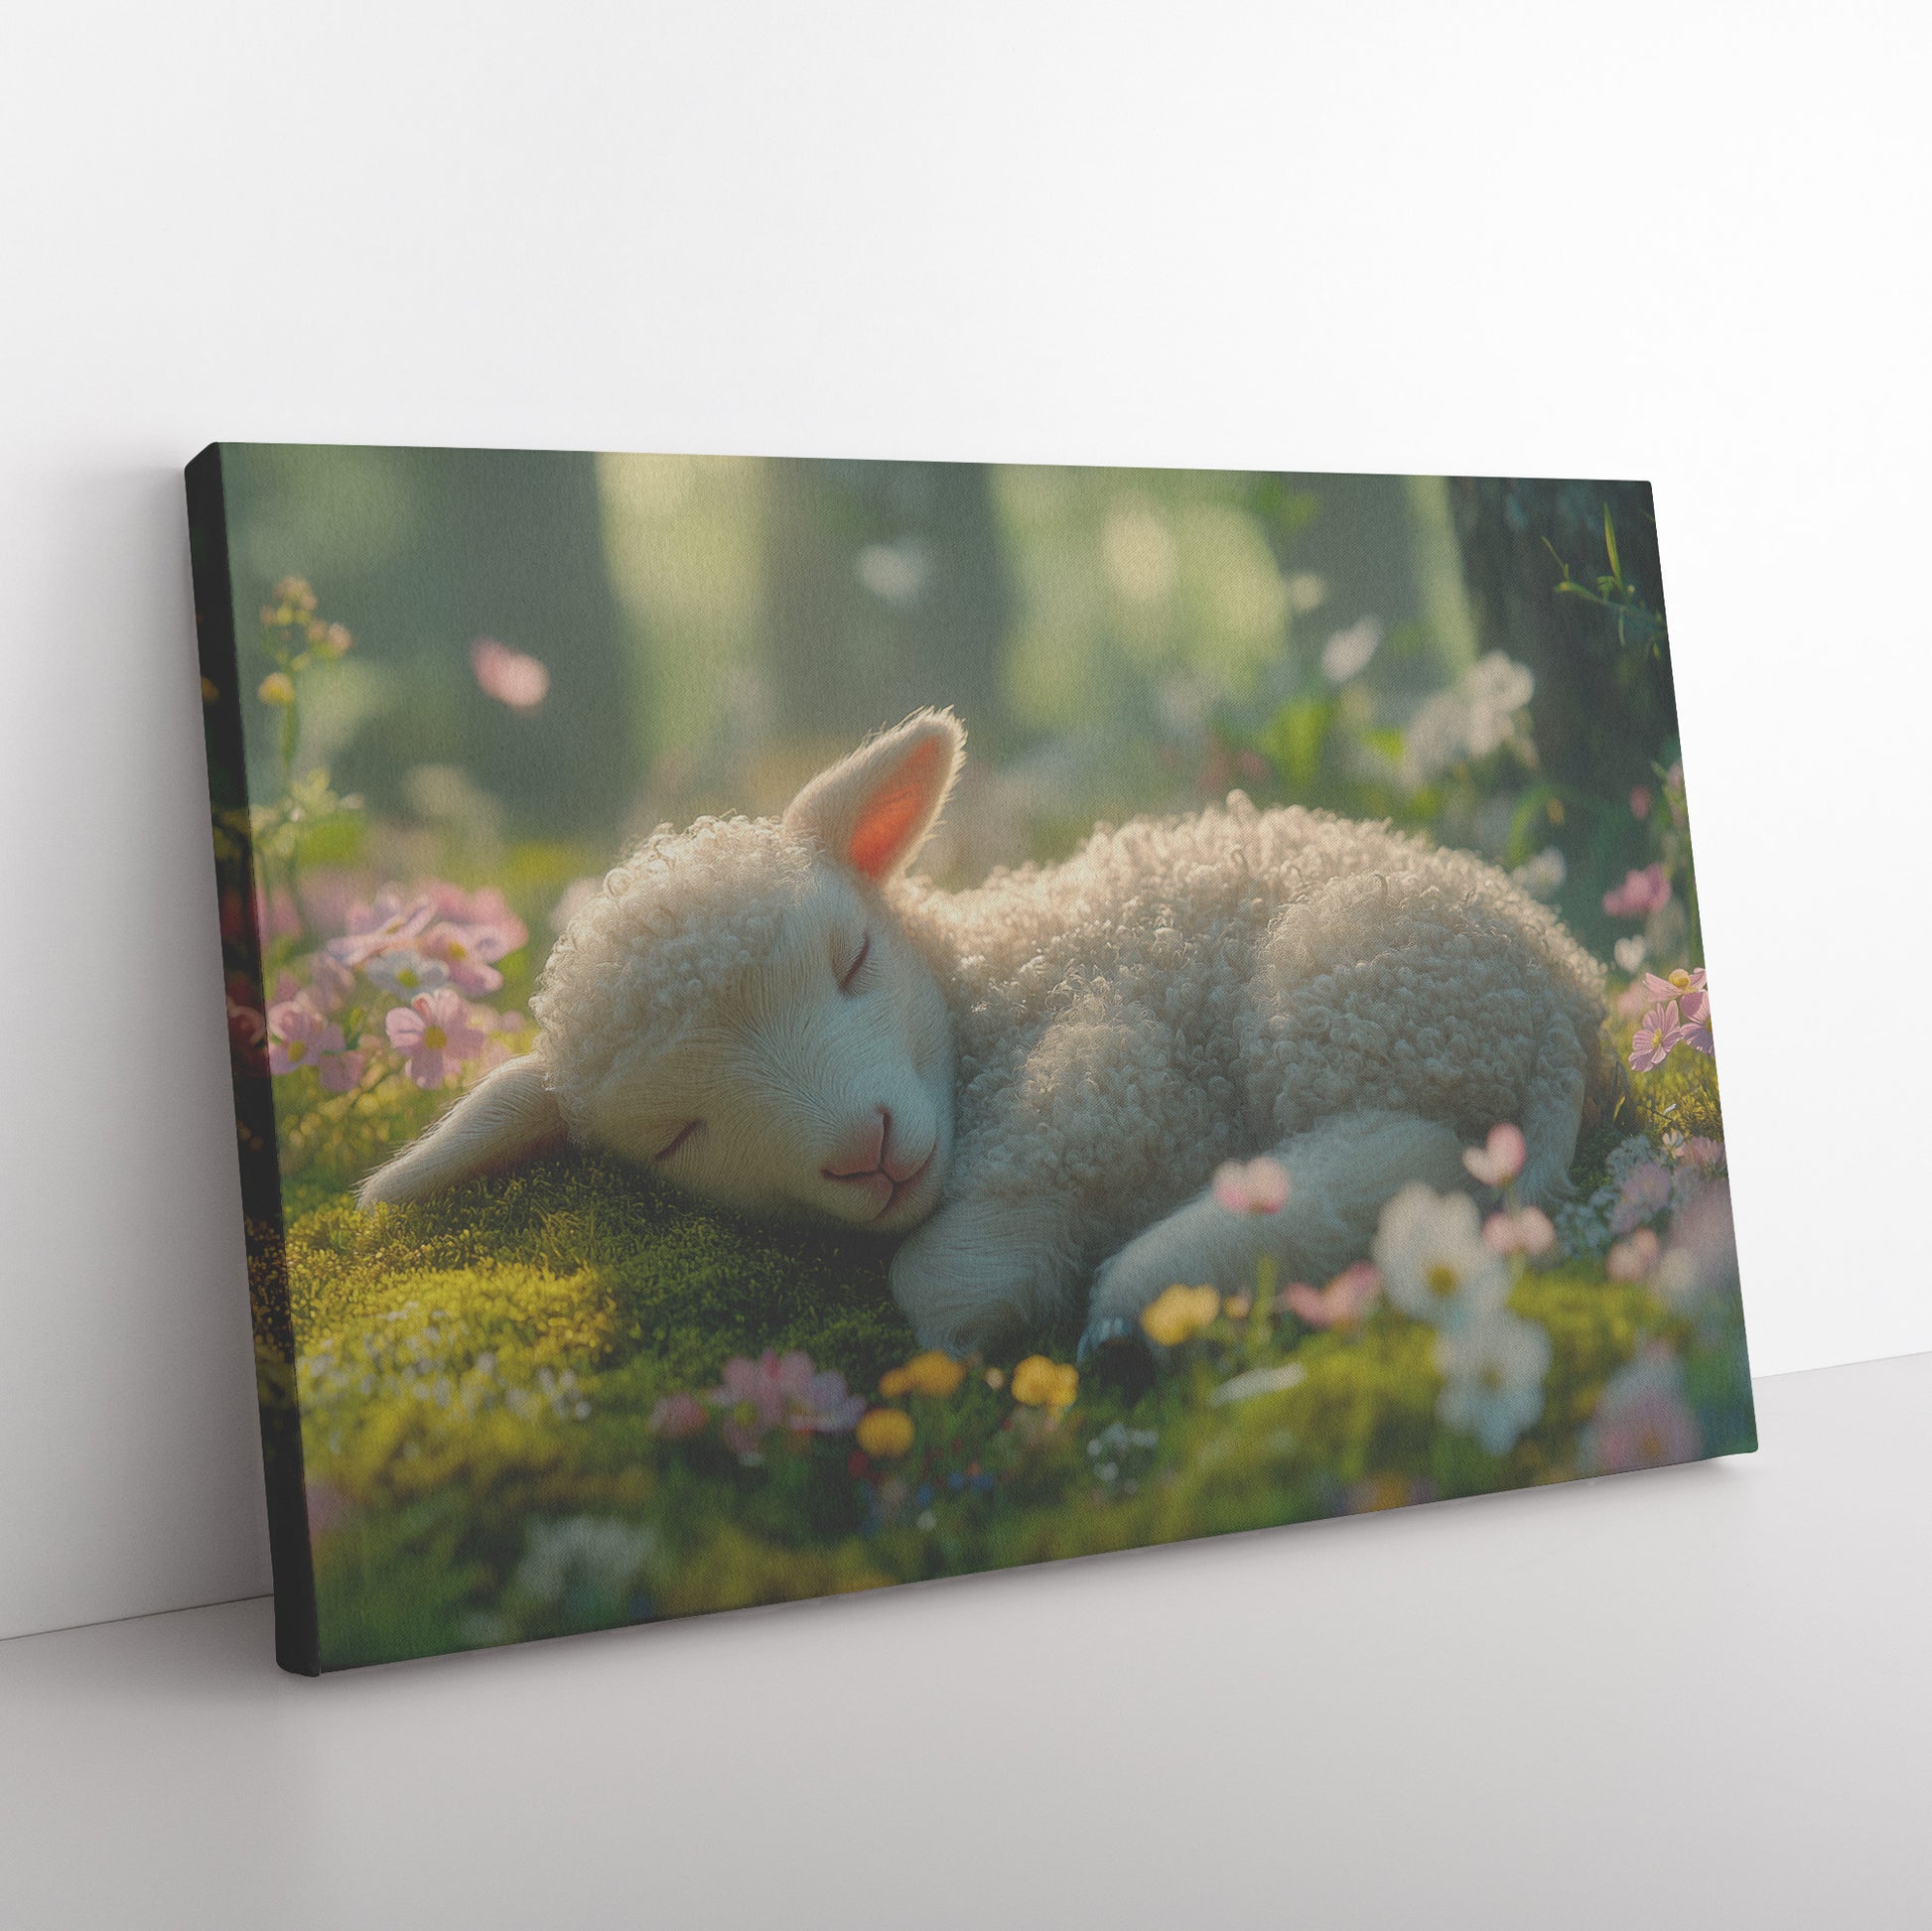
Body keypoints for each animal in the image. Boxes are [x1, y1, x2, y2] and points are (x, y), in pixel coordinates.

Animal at [358, 709, 1618, 1359]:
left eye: (850, 959)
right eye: (675, 1132)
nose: (864, 1148)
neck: (981, 977)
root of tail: (1563, 990)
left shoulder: (1108, 1073)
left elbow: (943, 1267)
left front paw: (978, 1308)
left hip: (1345, 991)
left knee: (1411, 1148)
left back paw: (1147, 1292)